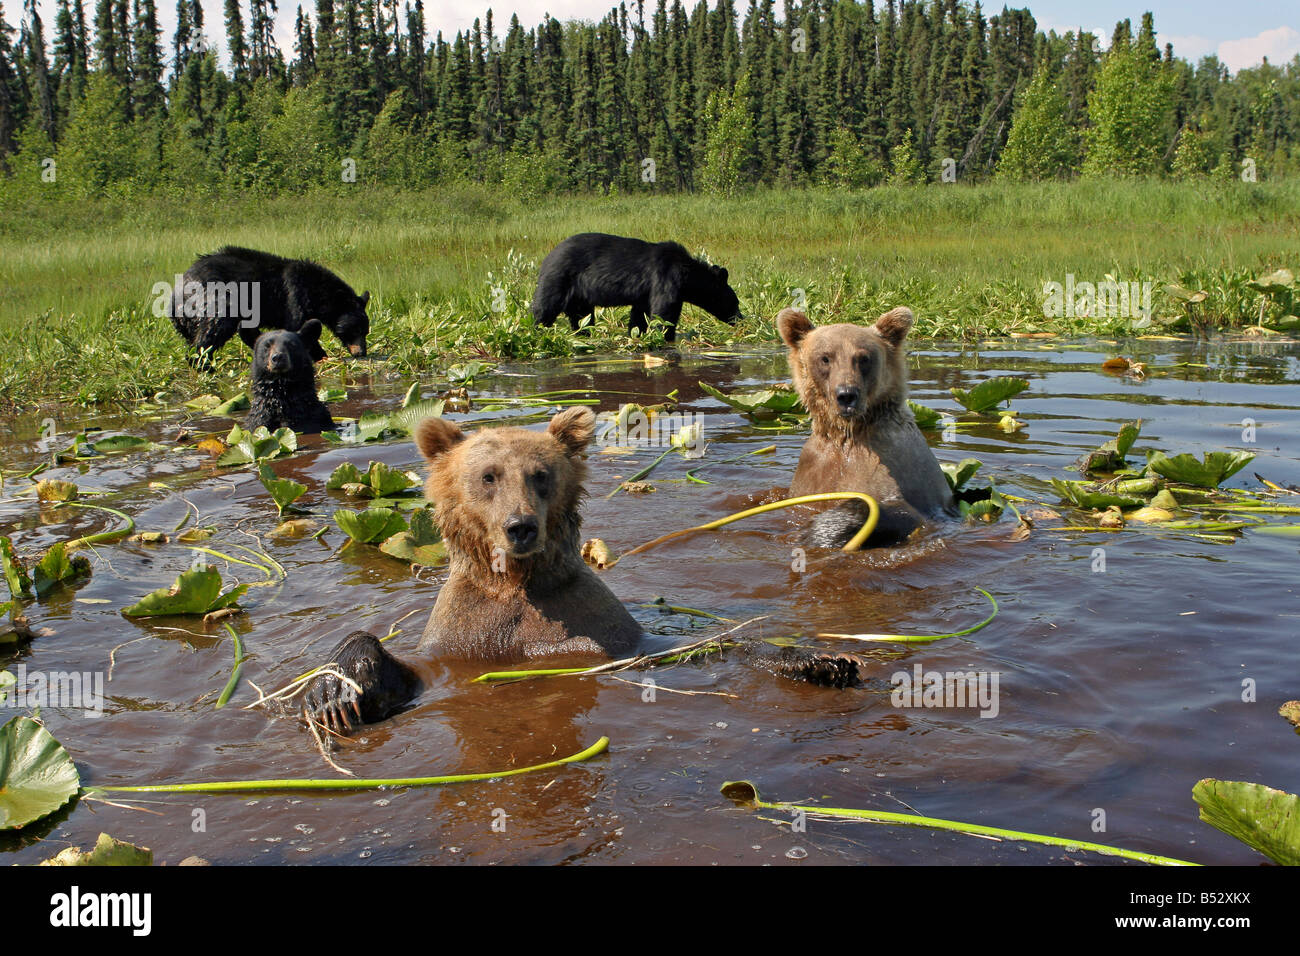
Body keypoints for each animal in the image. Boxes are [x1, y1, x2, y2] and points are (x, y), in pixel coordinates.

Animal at [168, 246, 370, 368]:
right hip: (213, 297)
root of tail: (175, 295)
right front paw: (321, 355)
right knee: (214, 328)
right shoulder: (295, 297)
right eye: (355, 330)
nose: (361, 352)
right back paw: (203, 364)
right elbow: (298, 326)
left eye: (366, 331)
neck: (317, 291)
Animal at [302, 407, 864, 732]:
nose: (520, 527)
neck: (517, 582)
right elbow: (408, 671)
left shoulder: (595, 628)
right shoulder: (463, 636)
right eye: (488, 476)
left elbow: (694, 648)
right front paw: (336, 693)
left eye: (540, 474)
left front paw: (819, 660)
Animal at [530, 233, 741, 343]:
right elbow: (664, 312)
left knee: (582, 316)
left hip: (579, 296)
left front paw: (638, 334)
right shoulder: (666, 279)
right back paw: (537, 329)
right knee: (545, 307)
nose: (741, 319)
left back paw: (583, 334)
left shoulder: (644, 294)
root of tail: (547, 257)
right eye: (736, 302)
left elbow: (640, 315)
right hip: (560, 278)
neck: (688, 274)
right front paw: (666, 337)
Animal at [778, 306, 954, 546]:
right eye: (825, 358)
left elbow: (886, 506)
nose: (846, 395)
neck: (848, 432)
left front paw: (819, 532)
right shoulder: (812, 473)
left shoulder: (892, 465)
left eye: (863, 358)